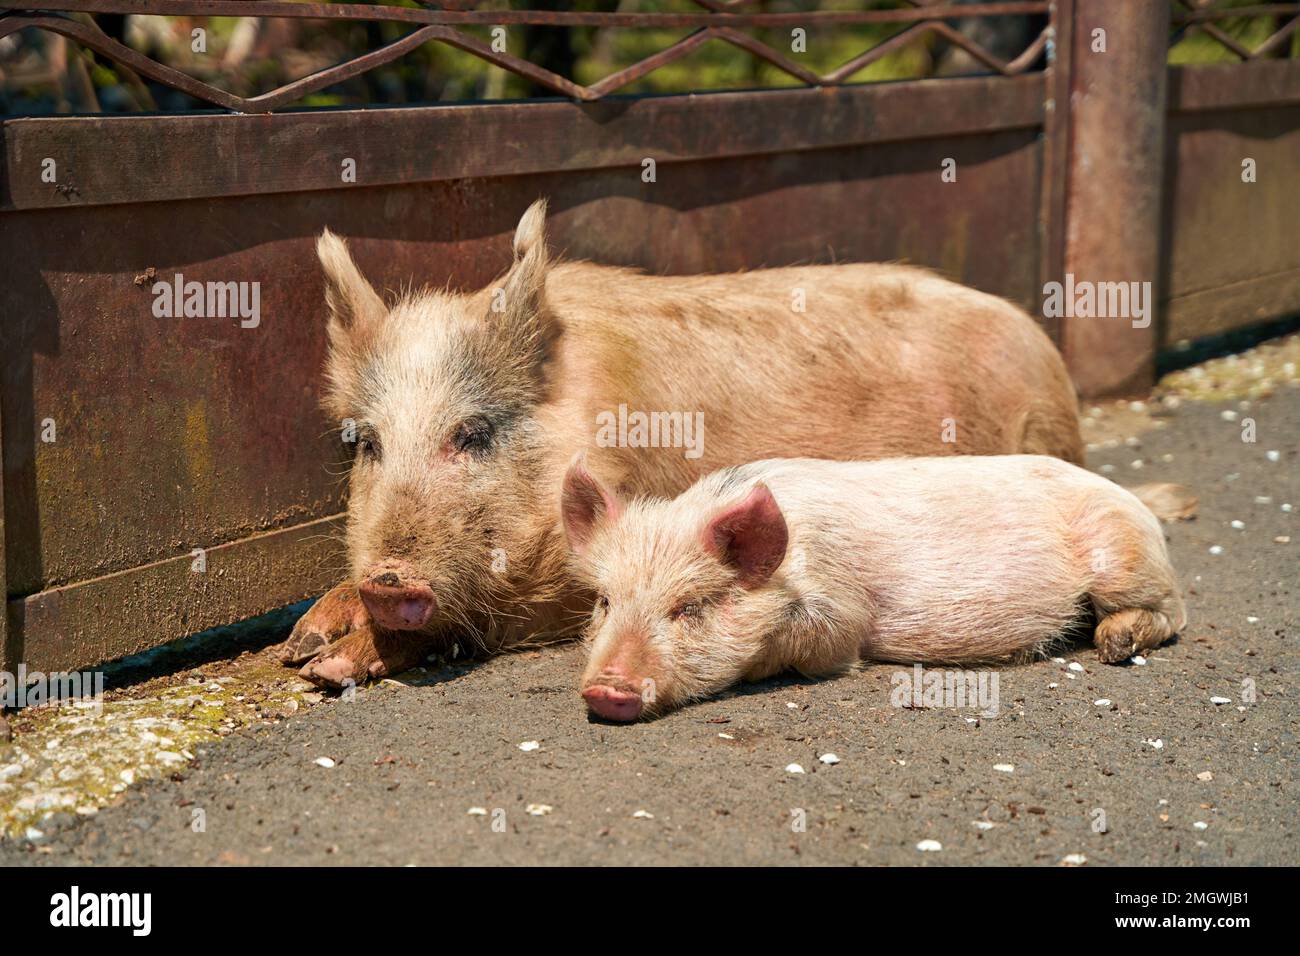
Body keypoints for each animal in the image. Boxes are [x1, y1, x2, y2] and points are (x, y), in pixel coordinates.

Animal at [562, 454, 1186, 721]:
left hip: (1121, 556)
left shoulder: (841, 616)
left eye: (690, 607)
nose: (607, 690)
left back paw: (1114, 645)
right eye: (605, 602)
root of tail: (1131, 499)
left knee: (1174, 612)